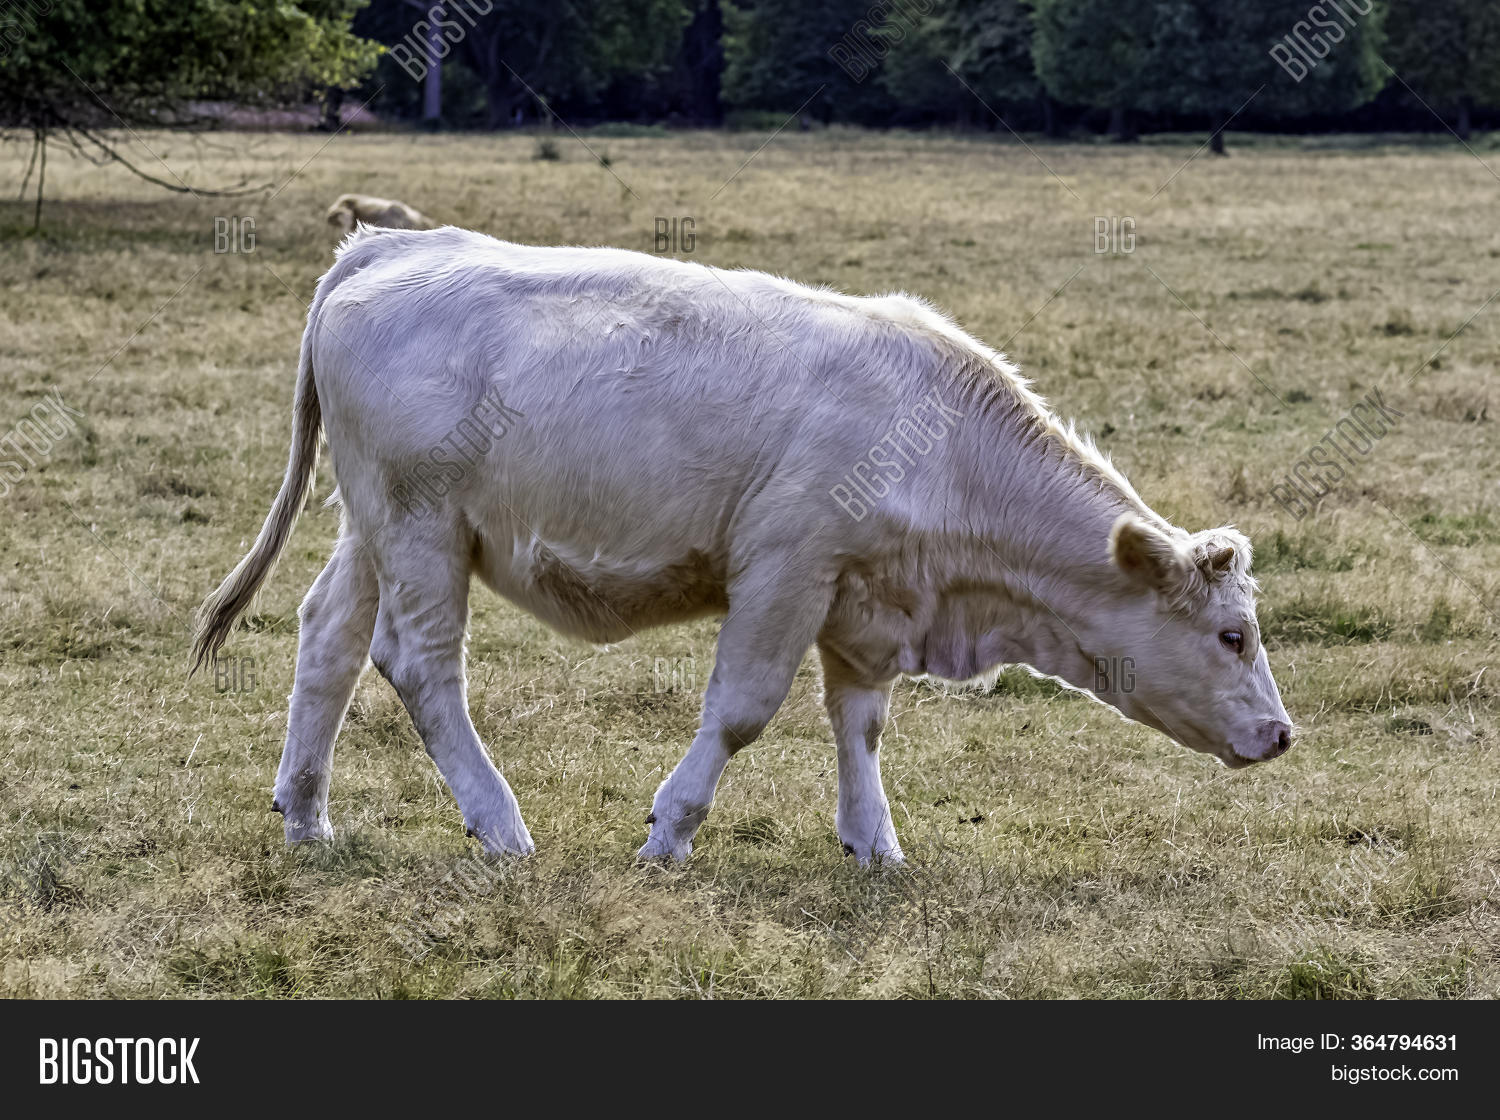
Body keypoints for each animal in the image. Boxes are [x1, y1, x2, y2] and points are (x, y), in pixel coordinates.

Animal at [193, 226, 1293, 865]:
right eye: (1232, 635)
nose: (1282, 735)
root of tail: (383, 245)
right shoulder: (786, 572)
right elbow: (741, 712)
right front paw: (670, 832)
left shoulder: (865, 598)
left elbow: (861, 726)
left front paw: (875, 843)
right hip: (422, 530)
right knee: (419, 666)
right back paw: (501, 825)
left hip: (375, 525)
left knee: (328, 641)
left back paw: (306, 813)